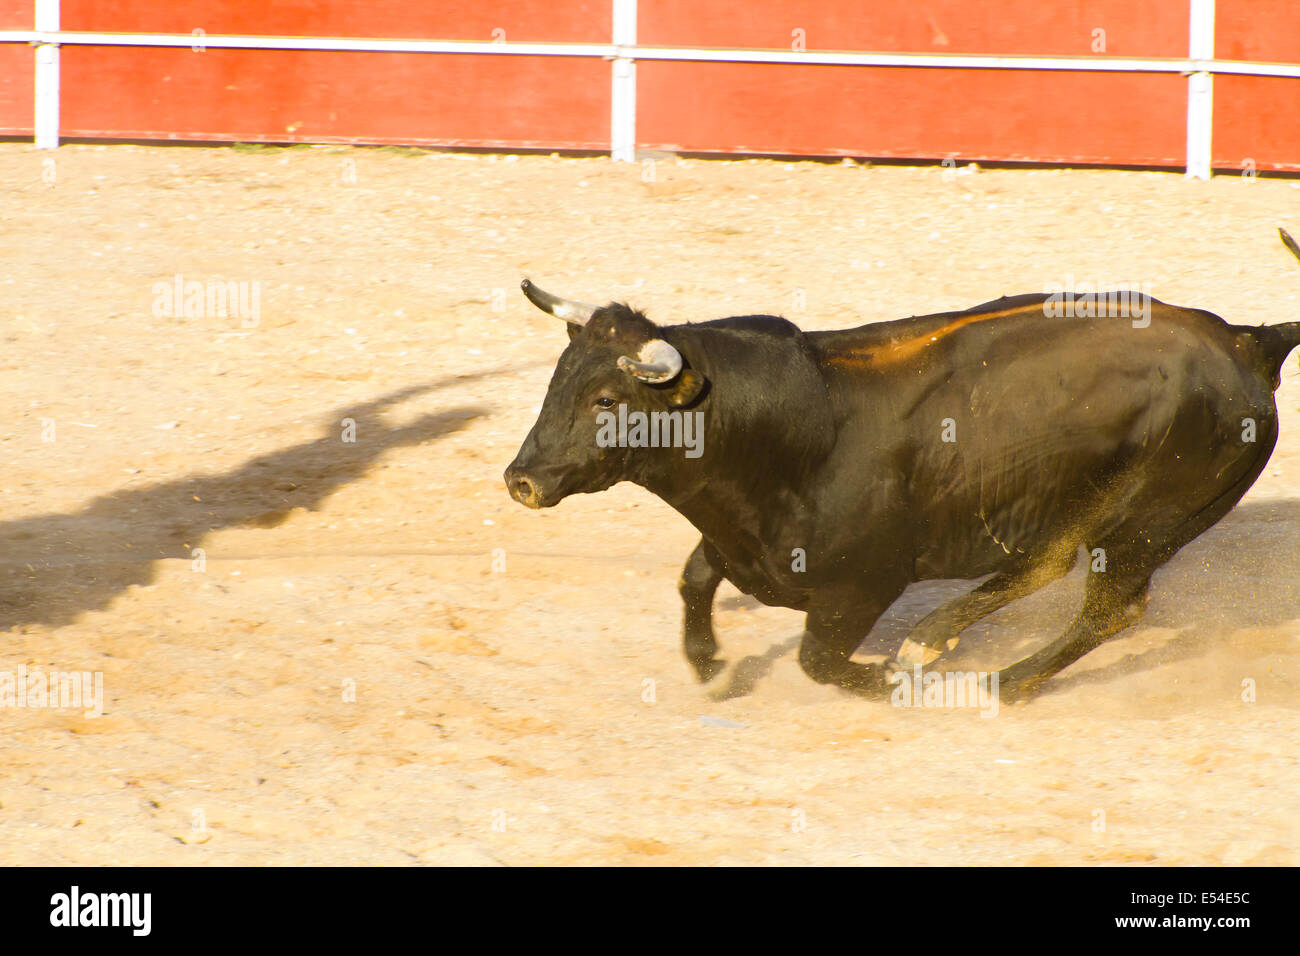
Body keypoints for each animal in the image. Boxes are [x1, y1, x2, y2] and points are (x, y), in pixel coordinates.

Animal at [505, 230, 1300, 701]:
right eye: (558, 380)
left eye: (607, 399)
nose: (521, 480)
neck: (794, 431)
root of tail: (1246, 341)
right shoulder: (739, 544)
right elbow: (695, 577)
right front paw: (707, 664)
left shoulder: (863, 586)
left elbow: (818, 662)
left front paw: (888, 676)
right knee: (1050, 565)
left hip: (1151, 518)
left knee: (1107, 604)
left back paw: (981, 674)